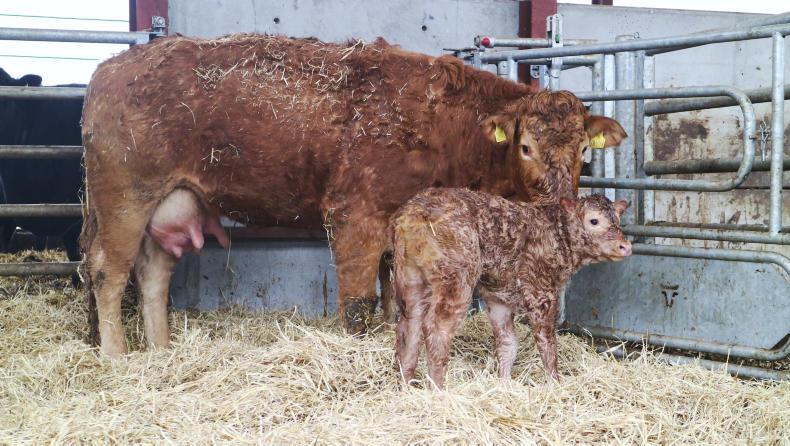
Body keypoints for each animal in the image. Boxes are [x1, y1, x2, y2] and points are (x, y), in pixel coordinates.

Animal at [80, 34, 625, 356]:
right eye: (526, 147)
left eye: (583, 150)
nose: (559, 201)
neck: (442, 126)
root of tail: (113, 66)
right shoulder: (355, 216)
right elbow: (360, 302)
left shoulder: (395, 227)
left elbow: (394, 297)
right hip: (124, 197)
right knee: (108, 270)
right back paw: (117, 357)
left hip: (171, 200)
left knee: (152, 273)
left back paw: (161, 351)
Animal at [392, 188, 631, 387]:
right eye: (594, 221)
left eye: (618, 220)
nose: (625, 246)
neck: (557, 234)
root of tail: (416, 209)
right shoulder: (541, 291)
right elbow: (547, 342)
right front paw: (555, 382)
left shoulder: (498, 298)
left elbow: (508, 343)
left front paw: (504, 384)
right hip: (456, 278)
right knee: (436, 327)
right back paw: (439, 390)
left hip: (410, 277)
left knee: (409, 326)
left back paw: (406, 386)